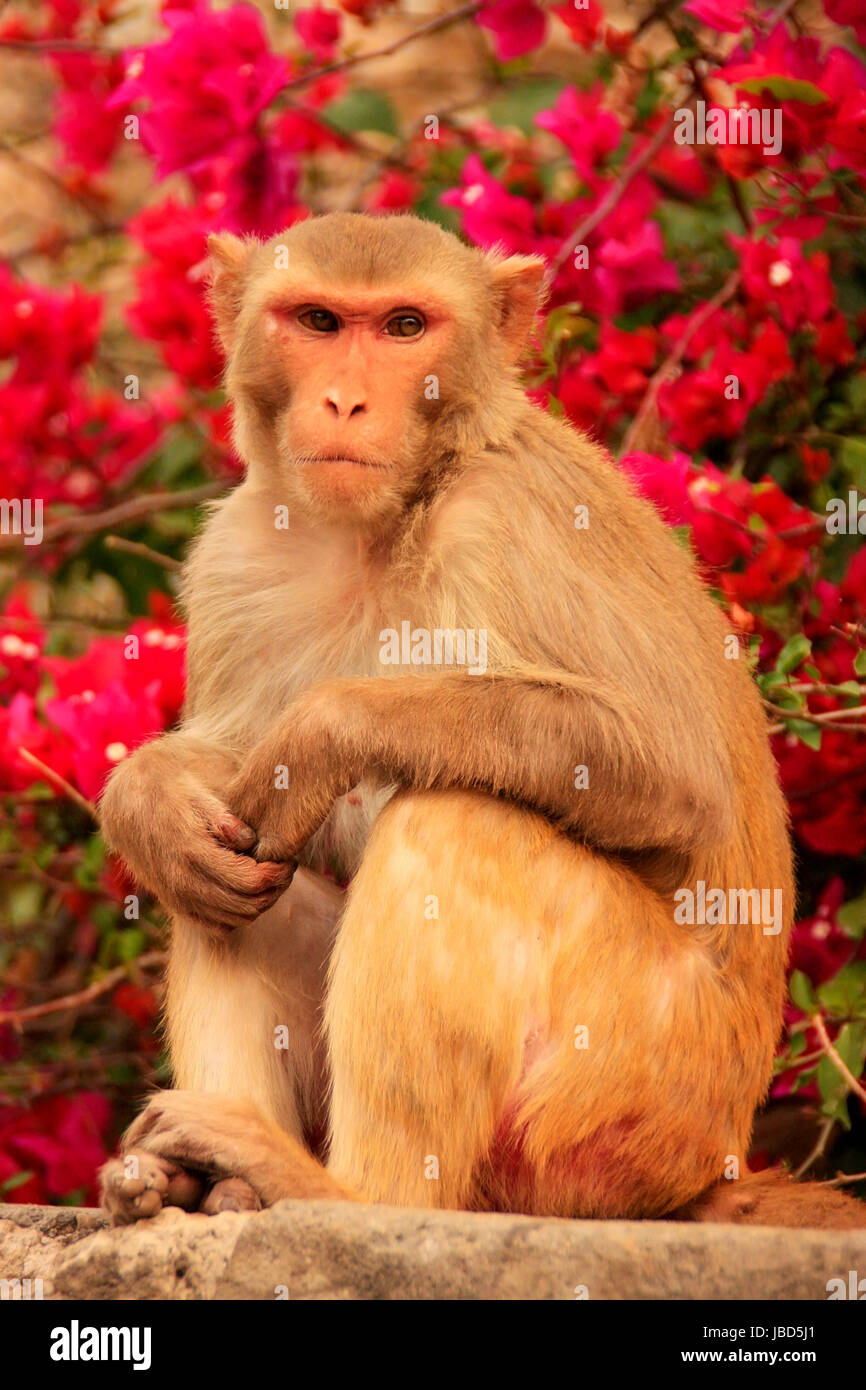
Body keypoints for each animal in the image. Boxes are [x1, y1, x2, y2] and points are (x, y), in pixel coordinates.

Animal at [99, 211, 864, 1229]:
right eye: (316, 320)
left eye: (404, 327)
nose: (344, 401)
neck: (383, 527)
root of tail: (714, 1165)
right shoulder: (238, 554)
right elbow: (224, 795)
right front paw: (150, 802)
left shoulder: (505, 522)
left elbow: (674, 773)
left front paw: (323, 730)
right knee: (230, 888)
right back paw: (193, 1181)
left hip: (627, 1095)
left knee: (460, 815)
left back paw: (342, 1194)